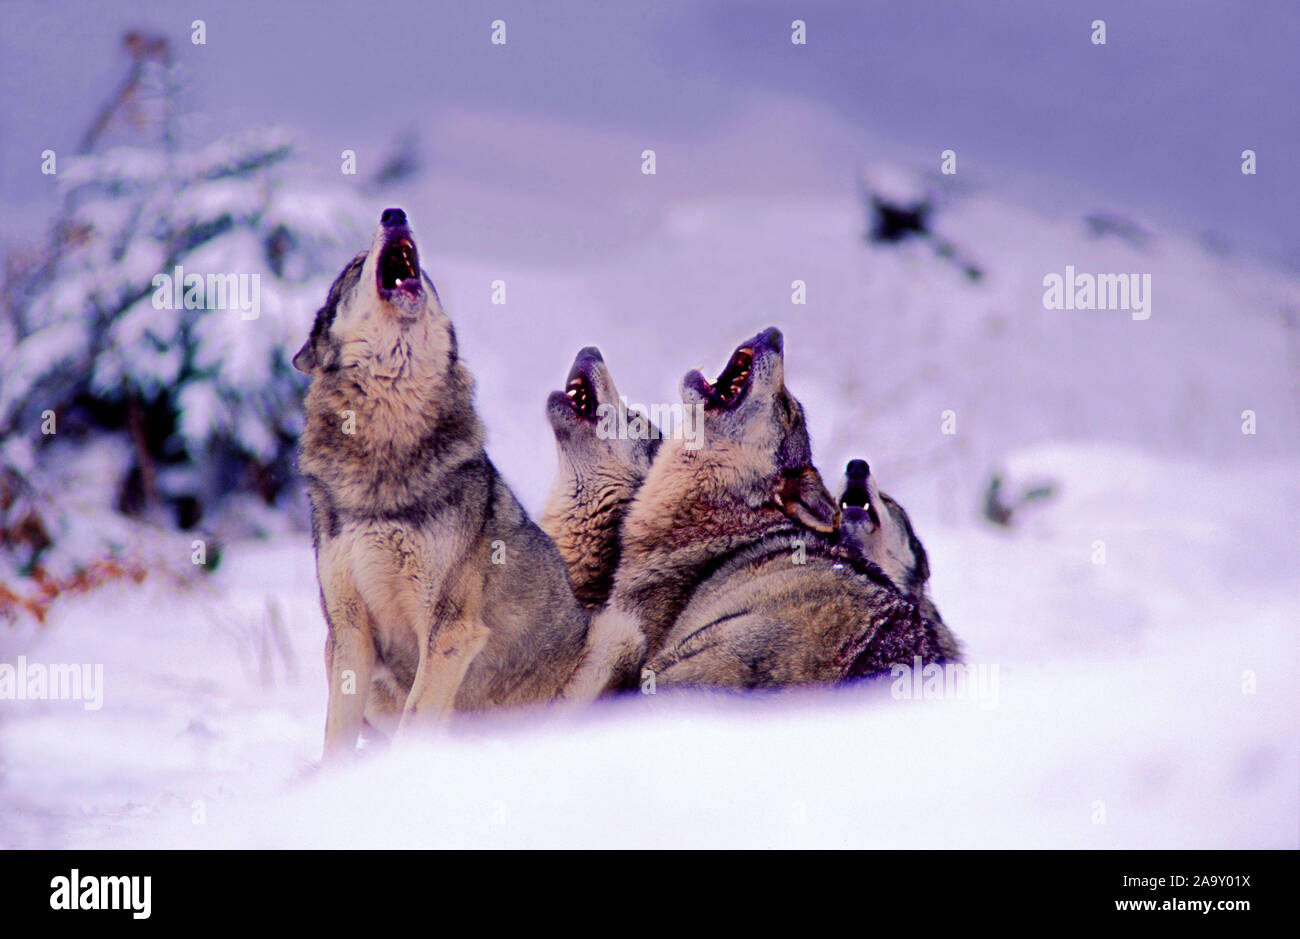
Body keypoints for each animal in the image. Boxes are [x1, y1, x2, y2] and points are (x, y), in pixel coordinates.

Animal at [292, 208, 589, 758]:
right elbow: (335, 734)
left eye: (425, 275)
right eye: (358, 265)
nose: (394, 213)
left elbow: (416, 719)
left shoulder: (450, 628)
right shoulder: (347, 632)